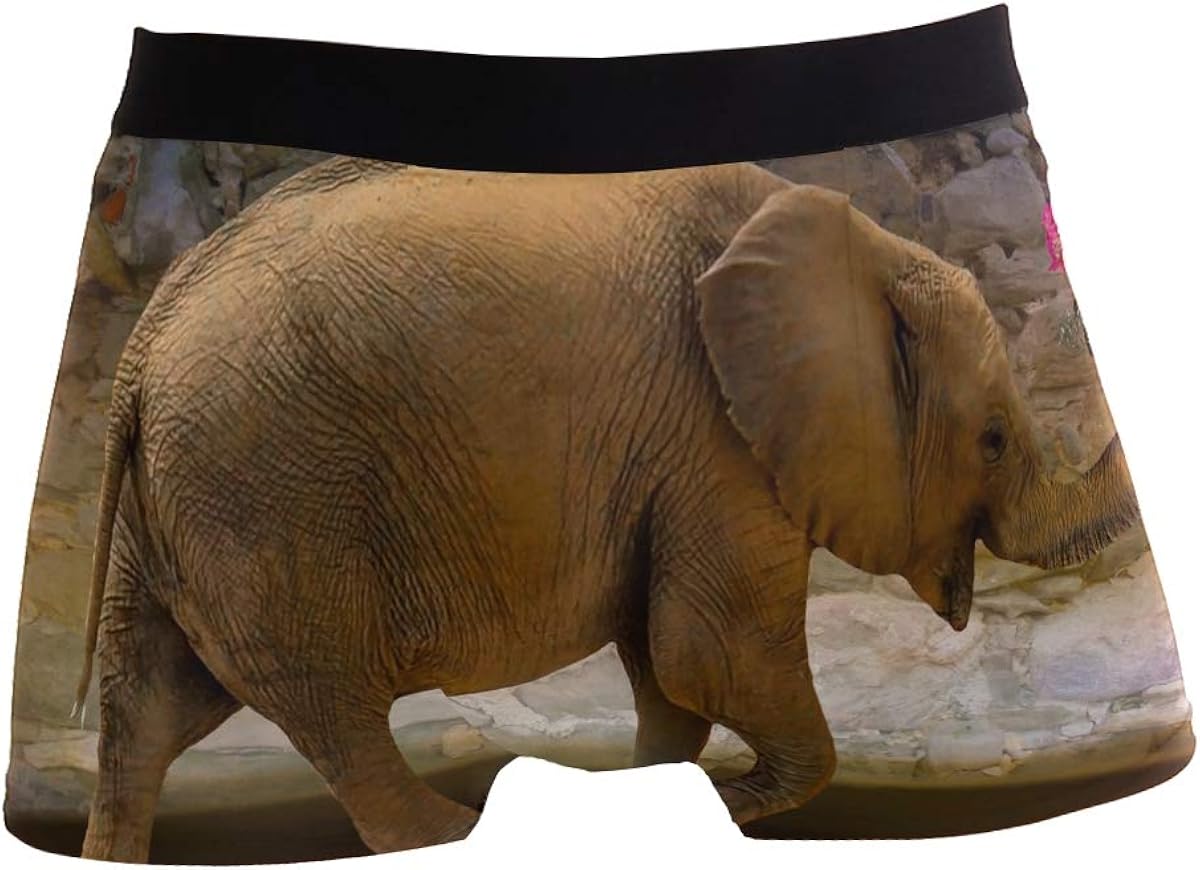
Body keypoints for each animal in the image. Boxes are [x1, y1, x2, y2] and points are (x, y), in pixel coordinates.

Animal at [70, 156, 1139, 861]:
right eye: (993, 438)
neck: (863, 245)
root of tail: (143, 348)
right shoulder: (716, 435)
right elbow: (707, 650)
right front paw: (726, 798)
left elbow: (667, 674)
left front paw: (669, 790)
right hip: (268, 489)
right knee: (329, 709)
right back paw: (459, 830)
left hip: (178, 505)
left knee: (151, 708)